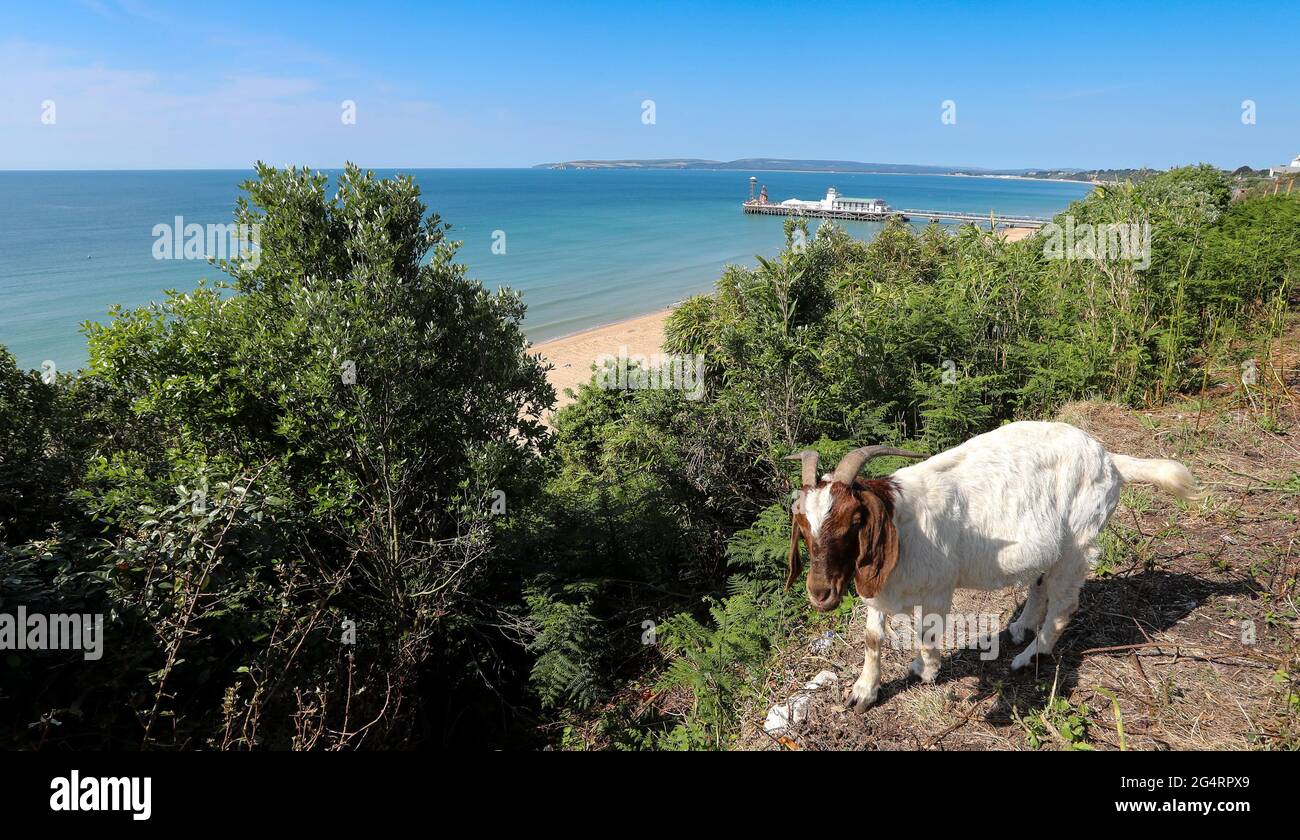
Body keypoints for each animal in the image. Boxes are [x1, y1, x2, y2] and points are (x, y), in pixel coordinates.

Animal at [785, 421, 1201, 712]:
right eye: (803, 526)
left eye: (853, 521)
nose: (820, 593)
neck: (902, 522)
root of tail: (1111, 459)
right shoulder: (878, 590)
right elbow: (873, 638)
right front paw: (863, 692)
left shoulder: (939, 588)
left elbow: (928, 633)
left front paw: (926, 671)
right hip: (1051, 549)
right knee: (1040, 585)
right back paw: (1020, 627)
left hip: (1079, 541)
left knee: (1065, 605)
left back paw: (1028, 656)